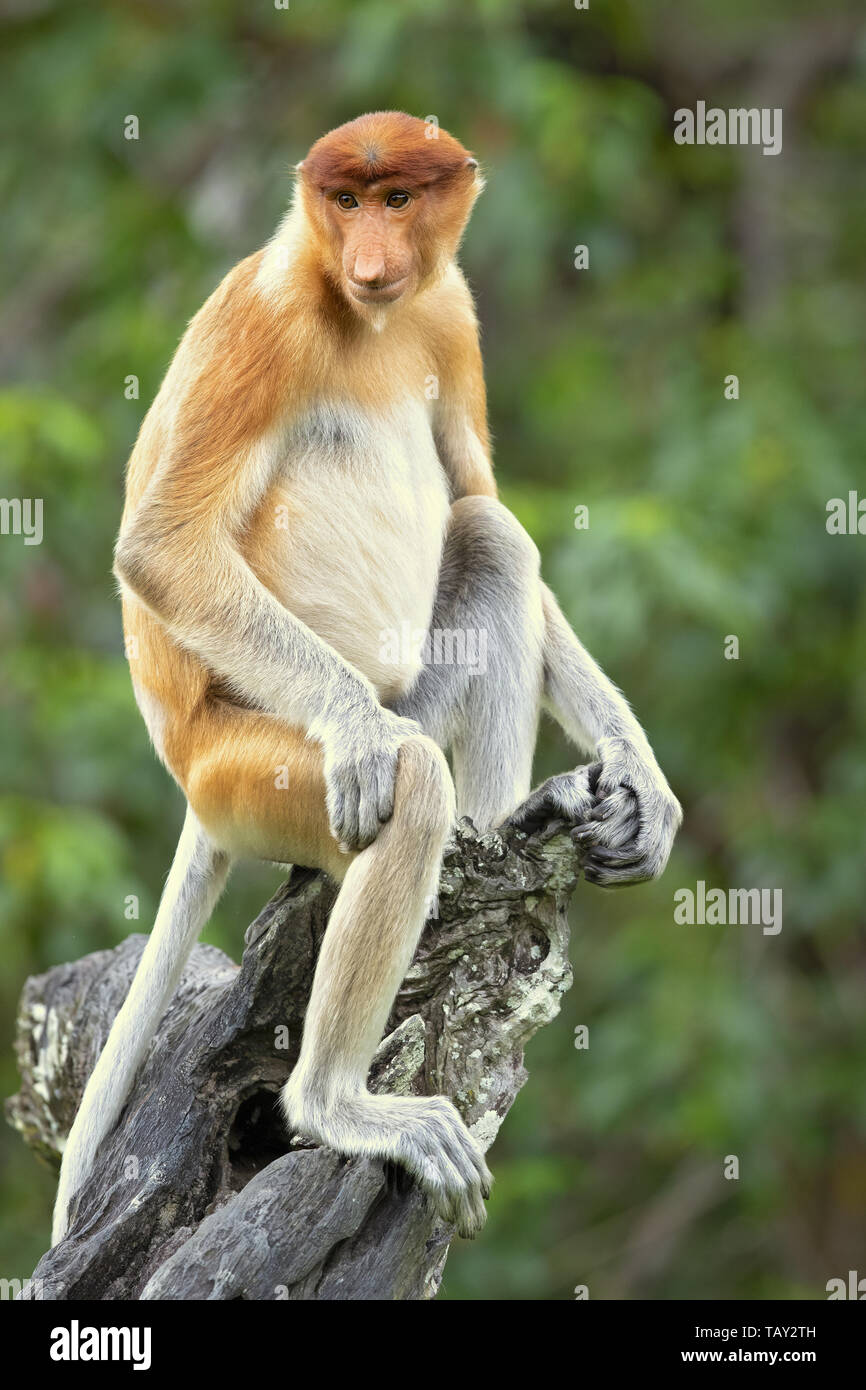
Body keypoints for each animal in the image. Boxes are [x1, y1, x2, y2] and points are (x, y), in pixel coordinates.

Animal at [51, 112, 682, 1247]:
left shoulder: (450, 313)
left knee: (491, 539)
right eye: (344, 202)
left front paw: (640, 784)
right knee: (408, 780)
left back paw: (508, 824)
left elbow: (476, 488)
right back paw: (336, 1104)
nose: (371, 259)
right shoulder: (265, 319)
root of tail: (192, 779)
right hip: (252, 776)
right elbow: (162, 548)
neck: (368, 315)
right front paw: (362, 738)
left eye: (397, 200)